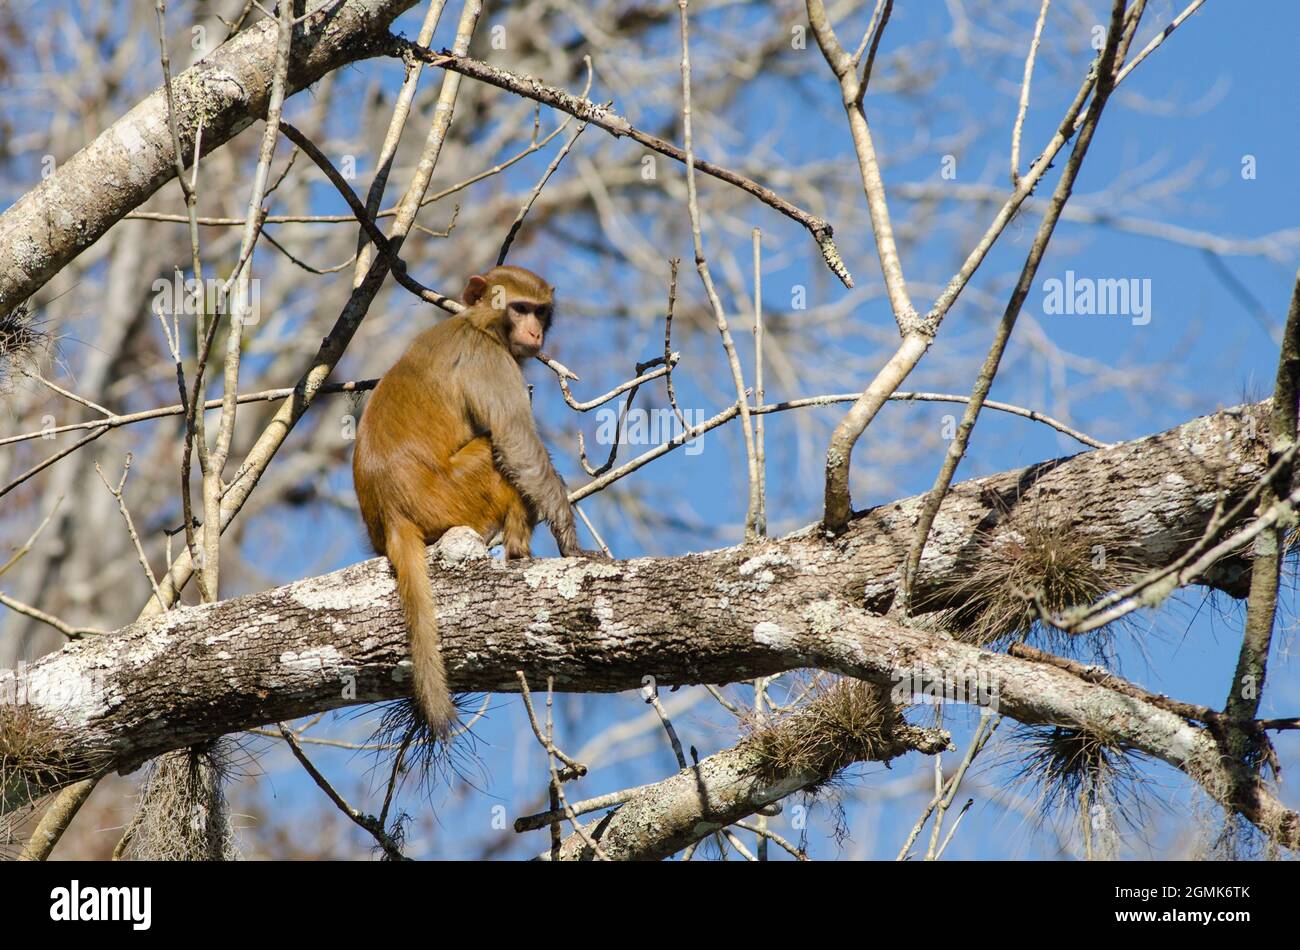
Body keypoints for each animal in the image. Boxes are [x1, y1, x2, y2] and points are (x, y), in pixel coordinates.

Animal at [352, 265, 595, 737]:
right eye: (519, 308)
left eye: (541, 311)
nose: (535, 331)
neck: (479, 324)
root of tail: (393, 515)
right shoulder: (490, 361)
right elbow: (515, 442)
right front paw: (571, 543)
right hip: (456, 498)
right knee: (492, 450)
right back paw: (517, 549)